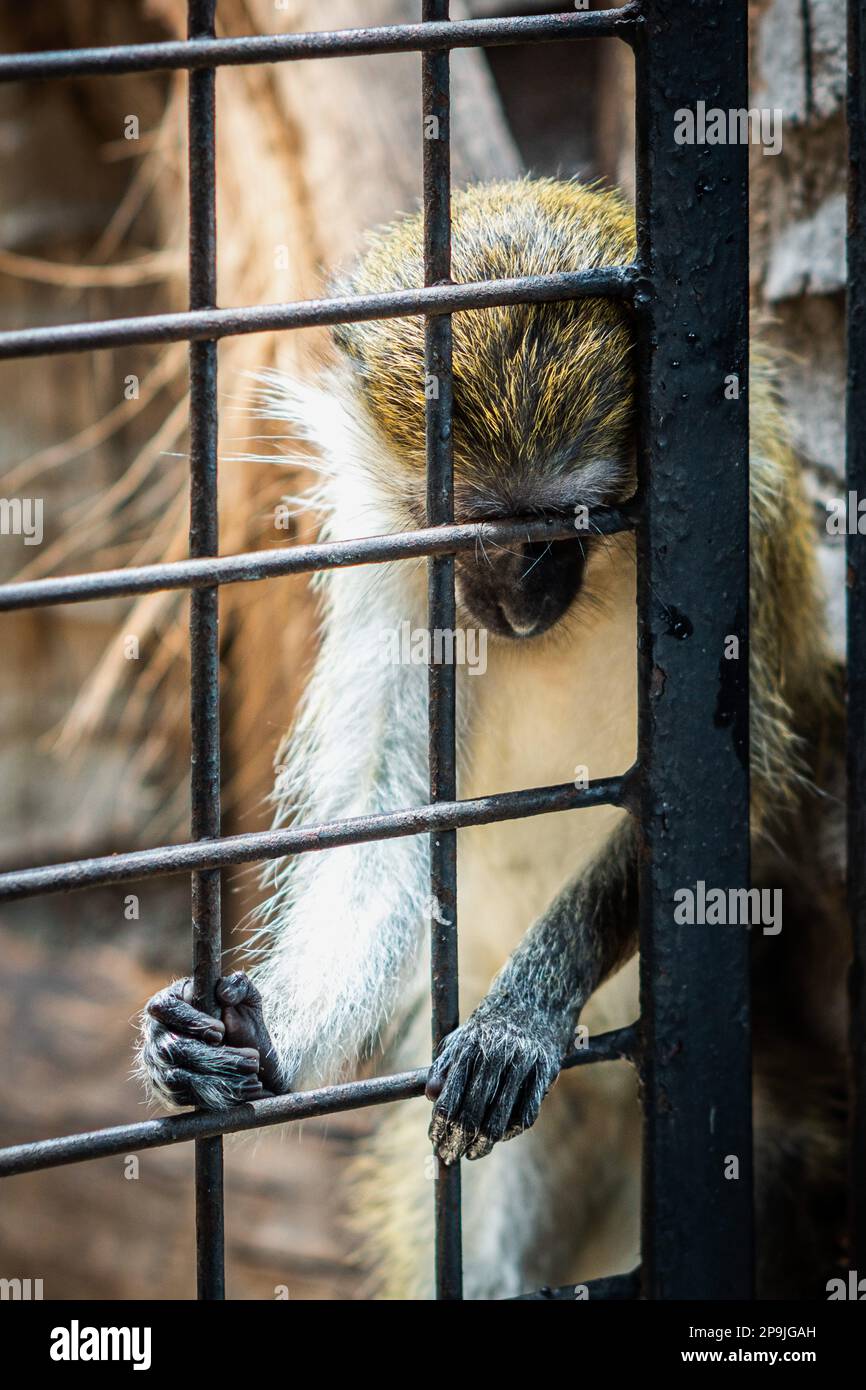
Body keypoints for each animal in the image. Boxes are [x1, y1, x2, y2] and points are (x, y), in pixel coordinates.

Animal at [137, 178, 849, 1300]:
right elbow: (387, 823)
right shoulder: (395, 554)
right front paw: (252, 1038)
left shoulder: (746, 516)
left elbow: (714, 815)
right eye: (475, 528)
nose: (517, 606)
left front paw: (521, 1014)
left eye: (559, 529)